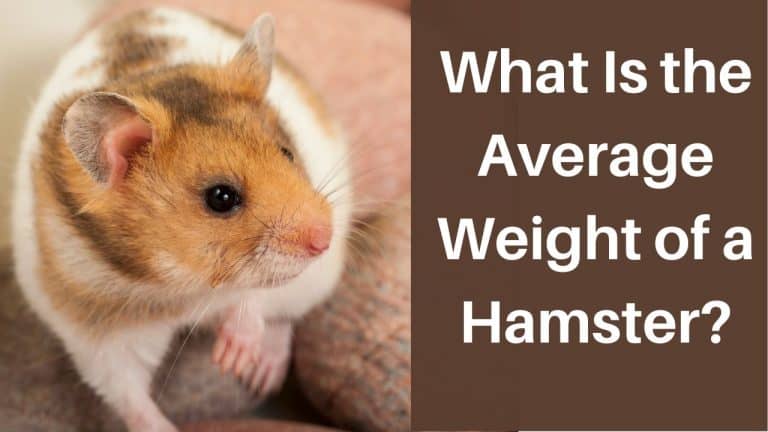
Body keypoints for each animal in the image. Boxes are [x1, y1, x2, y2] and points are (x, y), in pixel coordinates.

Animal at [12, 8, 351, 432]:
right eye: (221, 198)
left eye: (287, 153)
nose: (325, 238)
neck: (180, 288)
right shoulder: (99, 339)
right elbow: (128, 396)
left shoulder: (260, 281)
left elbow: (252, 297)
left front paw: (232, 359)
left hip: (315, 280)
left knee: (285, 317)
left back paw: (260, 374)